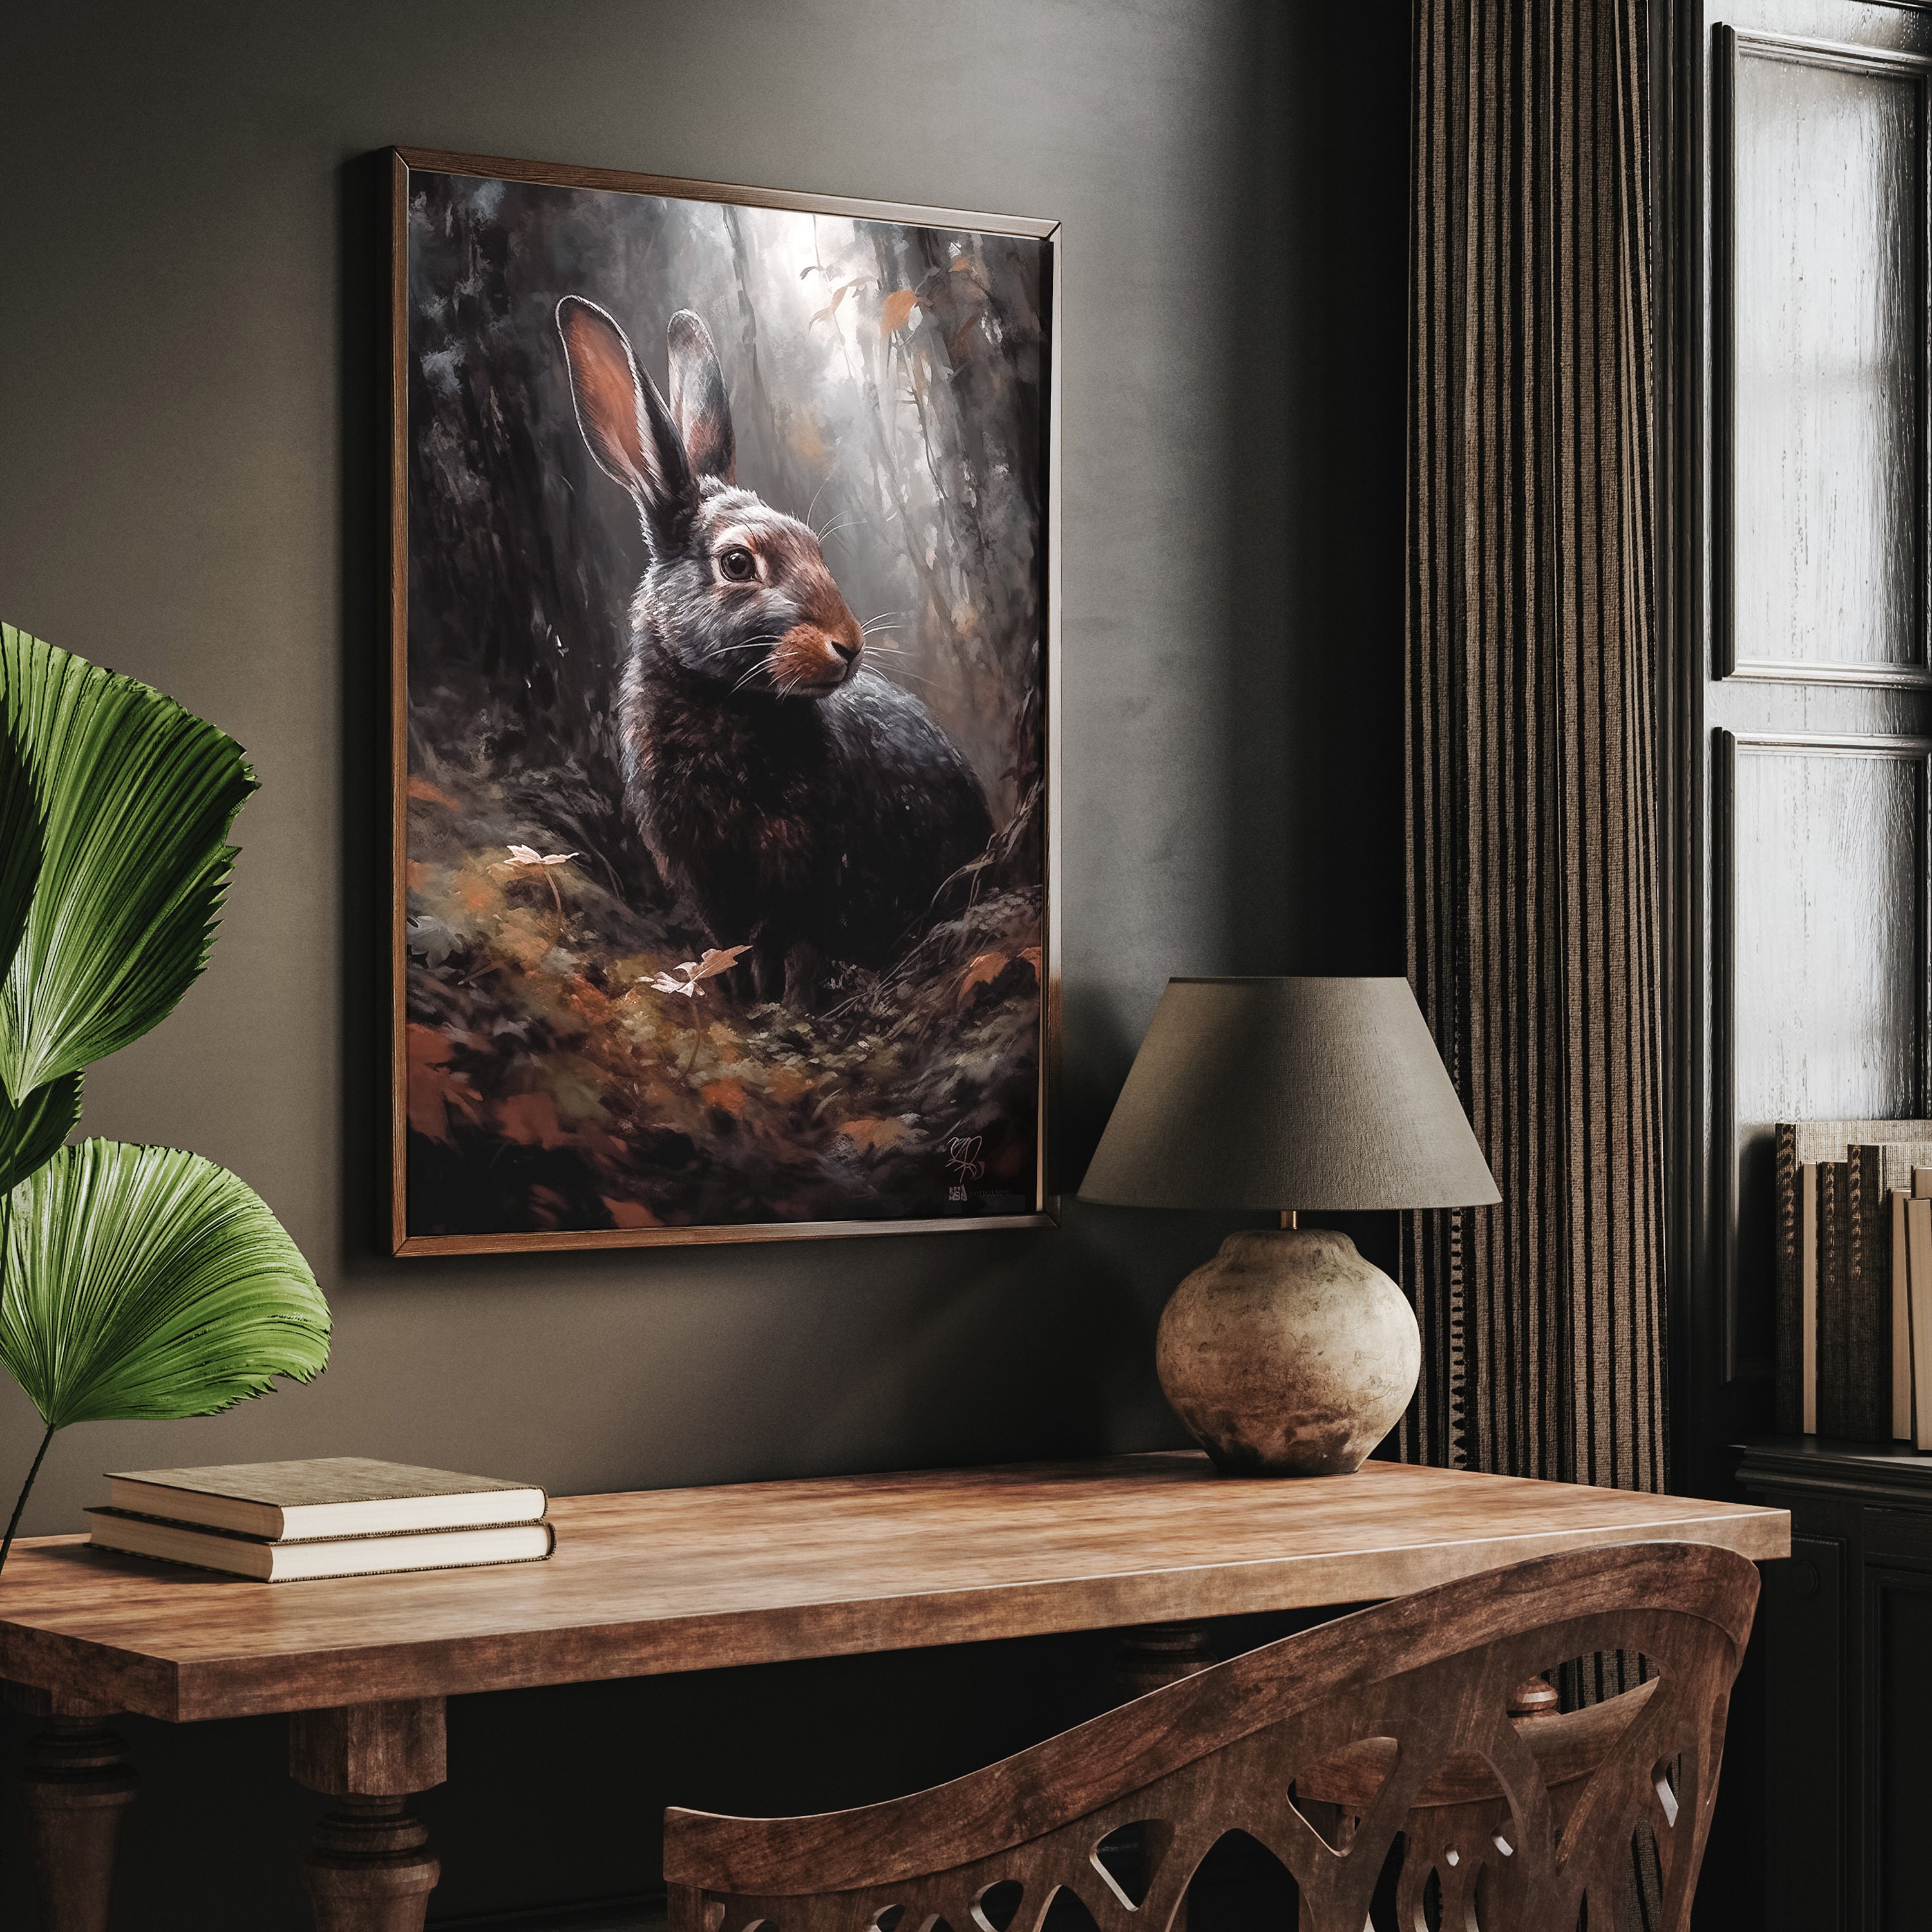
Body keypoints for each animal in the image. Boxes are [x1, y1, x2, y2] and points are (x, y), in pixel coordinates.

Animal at [556, 296, 994, 1009]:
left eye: (816, 548)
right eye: (737, 563)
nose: (849, 645)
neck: (725, 703)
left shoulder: (809, 872)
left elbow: (797, 949)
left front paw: (793, 1009)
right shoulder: (707, 877)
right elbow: (736, 948)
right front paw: (743, 1007)